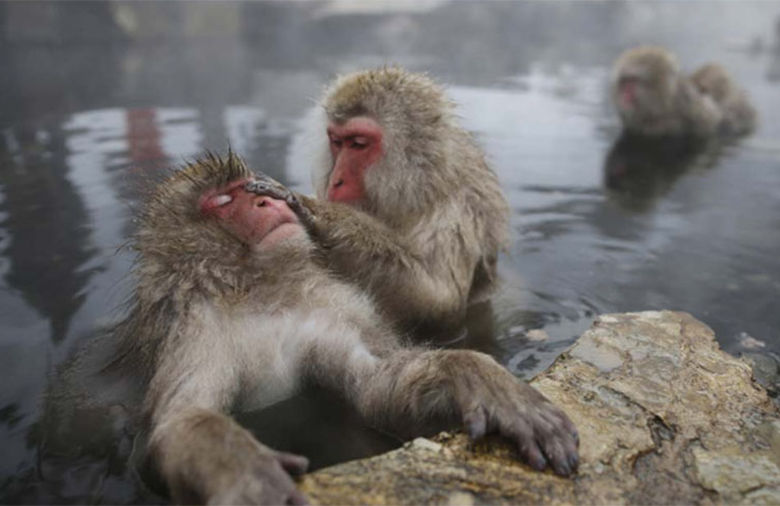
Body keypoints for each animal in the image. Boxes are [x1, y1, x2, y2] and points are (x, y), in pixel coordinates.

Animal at [119, 153, 577, 504]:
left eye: (252, 188)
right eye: (225, 200)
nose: (266, 203)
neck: (260, 292)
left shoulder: (325, 313)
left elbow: (374, 385)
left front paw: (476, 377)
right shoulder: (195, 335)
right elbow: (178, 420)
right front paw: (240, 468)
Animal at [292, 67, 510, 338]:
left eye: (358, 144)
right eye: (337, 142)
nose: (336, 181)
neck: (420, 188)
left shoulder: (456, 213)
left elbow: (439, 303)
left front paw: (318, 214)